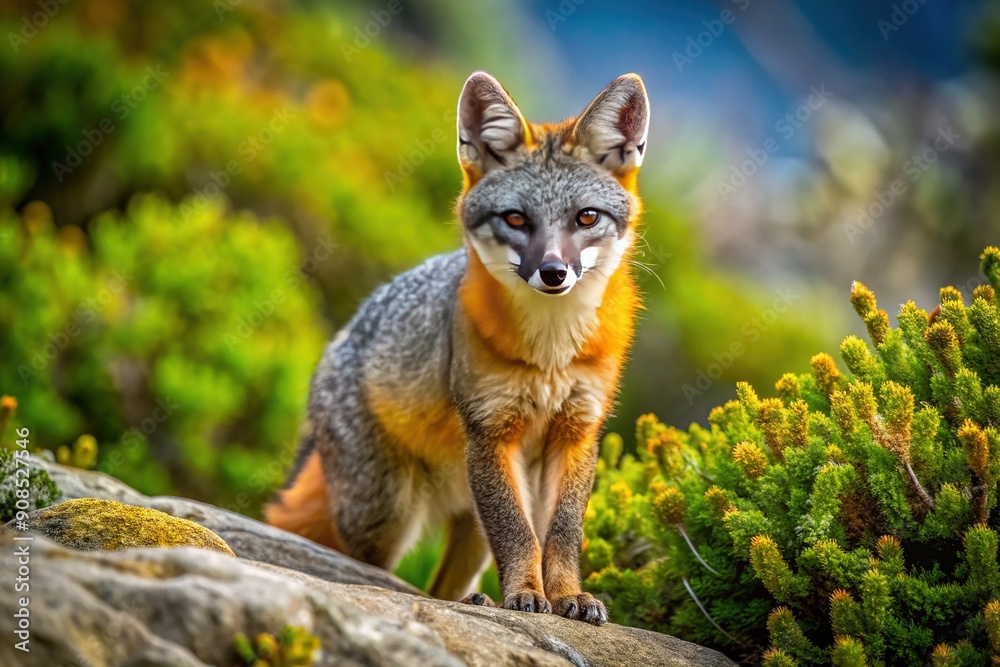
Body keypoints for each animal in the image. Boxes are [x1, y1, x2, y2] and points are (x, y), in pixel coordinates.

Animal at [265, 71, 650, 625]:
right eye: (516, 219)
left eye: (586, 218)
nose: (553, 273)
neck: (551, 352)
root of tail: (337, 344)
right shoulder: (490, 431)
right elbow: (519, 536)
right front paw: (527, 595)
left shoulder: (577, 432)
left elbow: (560, 534)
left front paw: (568, 596)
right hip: (385, 513)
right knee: (364, 566)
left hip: (472, 519)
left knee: (445, 582)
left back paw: (473, 600)